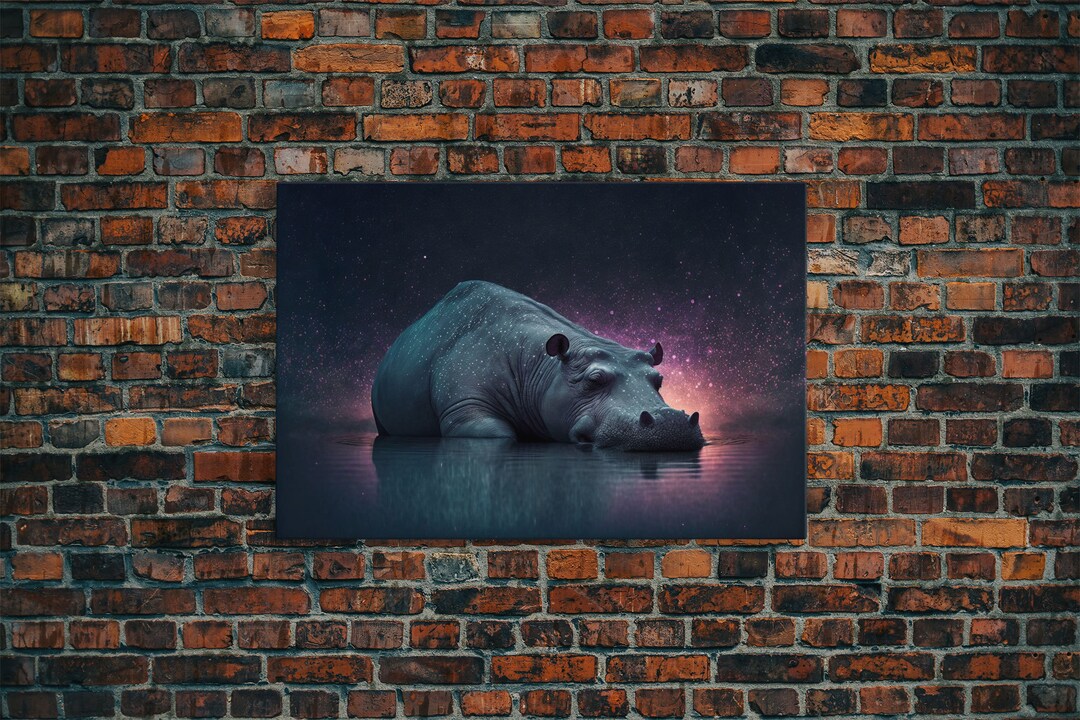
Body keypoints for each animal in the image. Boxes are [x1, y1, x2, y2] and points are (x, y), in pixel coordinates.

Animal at [371, 281, 705, 451]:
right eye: (594, 379)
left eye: (659, 379)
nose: (670, 422)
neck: (543, 366)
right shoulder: (465, 409)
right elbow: (500, 433)